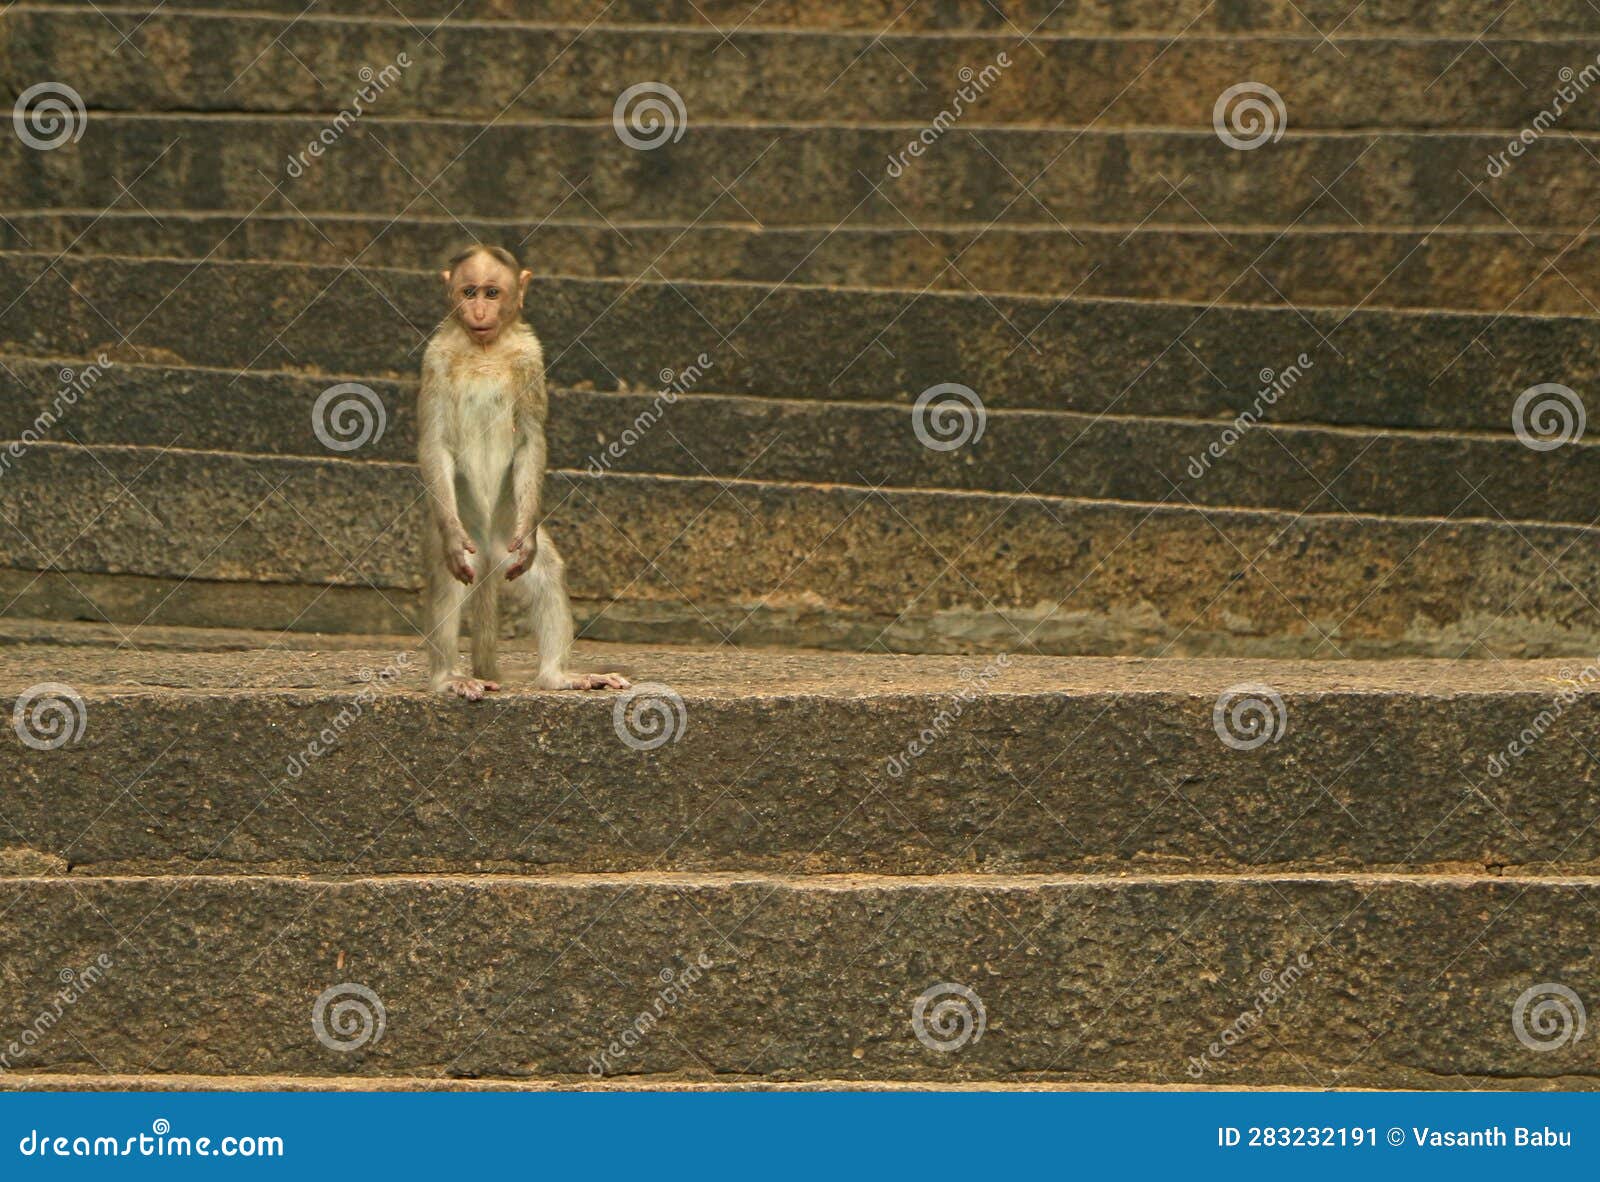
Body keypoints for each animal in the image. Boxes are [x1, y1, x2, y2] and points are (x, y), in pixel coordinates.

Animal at [419, 244, 630, 700]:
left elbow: (531, 439)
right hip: (466, 548)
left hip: (507, 545)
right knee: (449, 580)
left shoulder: (531, 357)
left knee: (547, 572)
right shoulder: (435, 358)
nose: (479, 311)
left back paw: (557, 675)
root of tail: (489, 555)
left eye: (492, 292)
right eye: (469, 291)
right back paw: (447, 678)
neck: (485, 349)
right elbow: (434, 442)